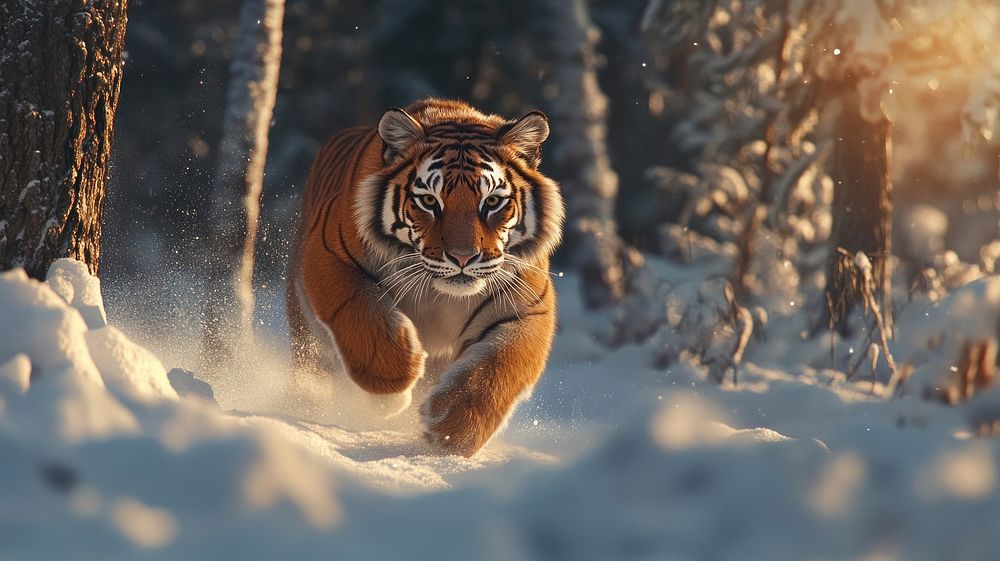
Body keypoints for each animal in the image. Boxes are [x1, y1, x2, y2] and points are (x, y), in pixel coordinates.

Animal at [286, 98, 565, 457]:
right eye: (429, 201)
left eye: (491, 201)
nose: (463, 257)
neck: (439, 292)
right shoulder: (330, 256)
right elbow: (364, 319)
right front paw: (392, 390)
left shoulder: (526, 304)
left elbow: (501, 366)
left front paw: (451, 428)